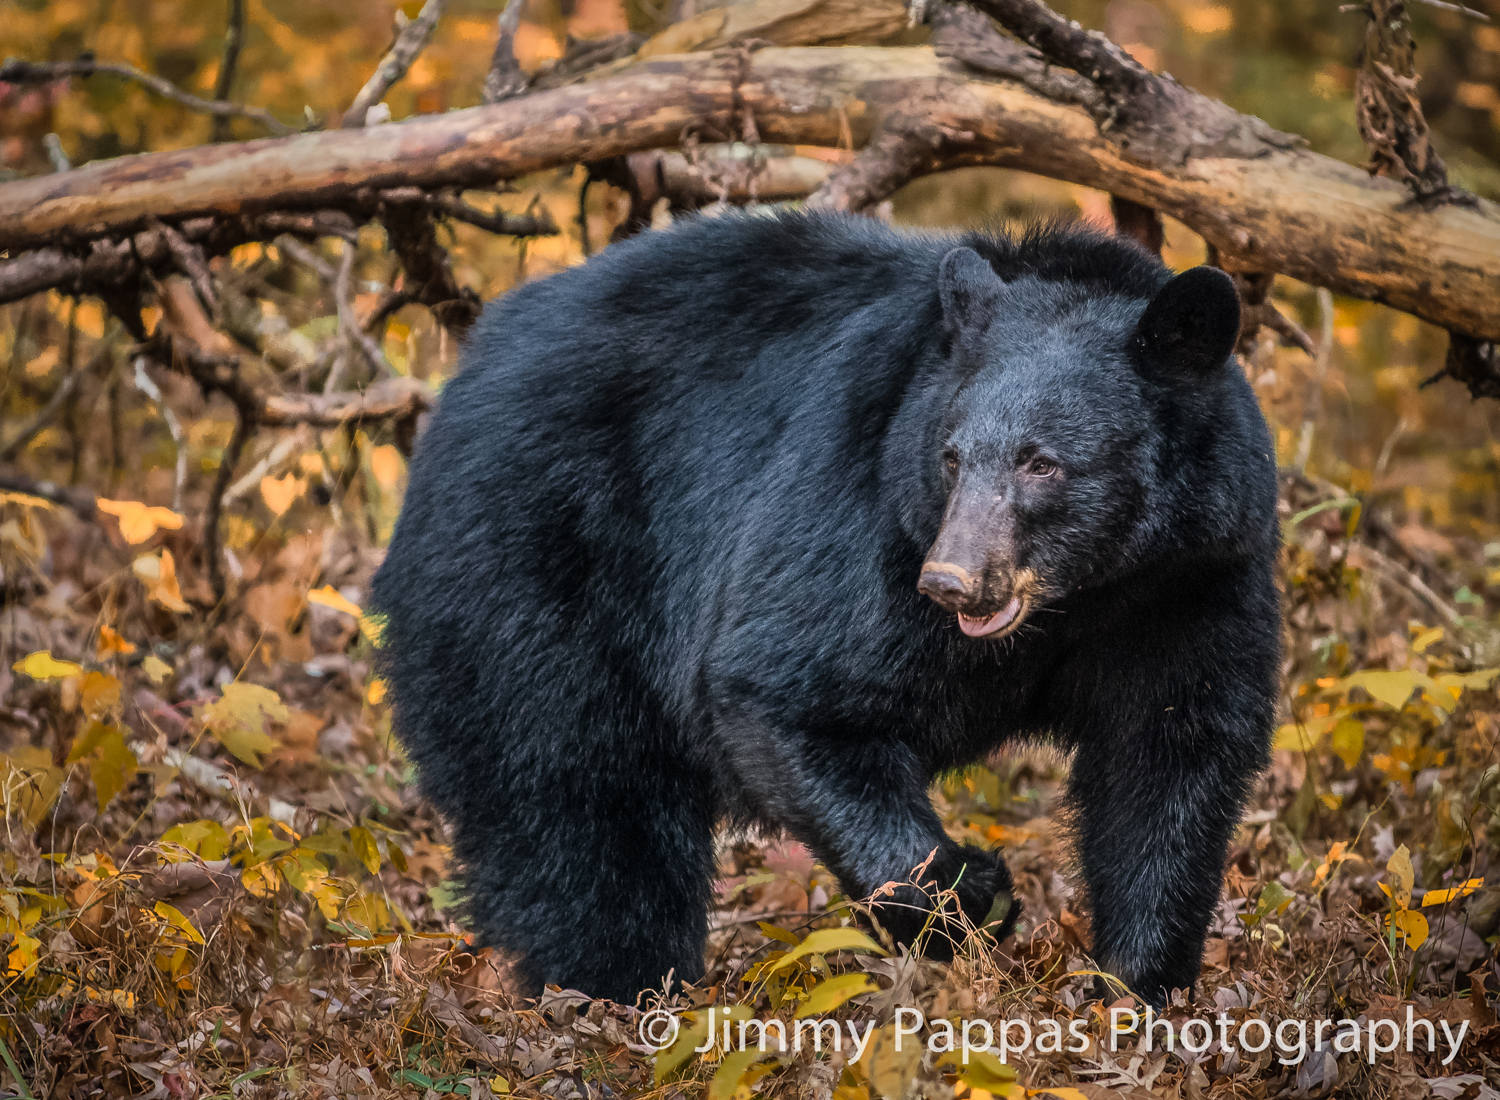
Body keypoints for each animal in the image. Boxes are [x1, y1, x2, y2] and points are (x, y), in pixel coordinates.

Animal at [371, 210, 1281, 1008]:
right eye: (952, 457)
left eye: (1043, 463)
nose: (951, 580)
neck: (1077, 602)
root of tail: (464, 376)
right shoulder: (865, 516)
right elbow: (787, 687)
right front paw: (971, 893)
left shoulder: (1194, 579)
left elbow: (1169, 755)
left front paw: (1138, 984)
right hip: (533, 562)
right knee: (574, 788)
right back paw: (613, 982)